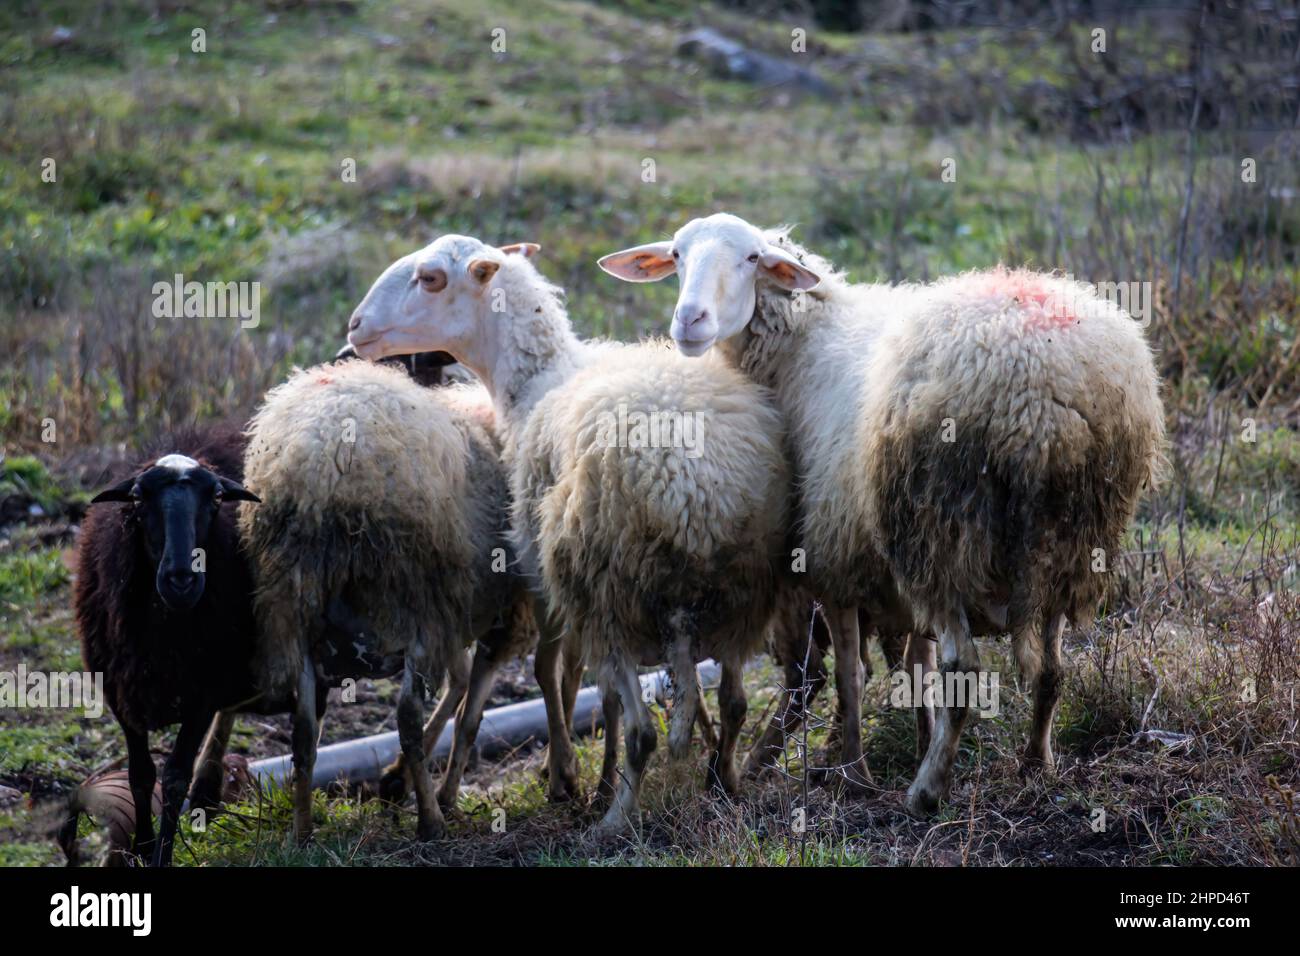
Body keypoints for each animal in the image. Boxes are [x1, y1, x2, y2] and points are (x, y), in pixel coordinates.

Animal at [74, 424, 268, 866]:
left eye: (217, 498)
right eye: (138, 497)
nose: (181, 579)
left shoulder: (203, 693)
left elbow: (175, 777)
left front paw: (161, 855)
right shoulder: (120, 691)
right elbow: (140, 775)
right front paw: (142, 848)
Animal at [238, 358, 539, 841]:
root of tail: (324, 459)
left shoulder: (458, 618)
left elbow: (460, 688)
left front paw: (401, 783)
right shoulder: (493, 620)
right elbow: (469, 716)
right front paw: (437, 794)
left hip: (293, 607)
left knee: (303, 732)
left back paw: (302, 830)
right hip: (413, 601)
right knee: (407, 717)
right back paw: (430, 821)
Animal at [347, 236, 791, 834]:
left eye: (431, 278)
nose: (355, 327)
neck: (536, 380)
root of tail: (693, 496)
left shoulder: (546, 571)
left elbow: (551, 672)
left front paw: (569, 779)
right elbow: (592, 688)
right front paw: (592, 777)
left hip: (608, 585)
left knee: (645, 731)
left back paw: (614, 823)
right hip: (742, 591)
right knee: (735, 701)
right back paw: (725, 781)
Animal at [599, 213, 1165, 815]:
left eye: (752, 258)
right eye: (677, 255)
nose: (690, 321)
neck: (804, 342)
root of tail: (1043, 392)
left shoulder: (833, 553)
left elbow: (853, 676)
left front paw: (854, 772)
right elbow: (913, 666)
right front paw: (905, 742)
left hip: (941, 529)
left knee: (963, 668)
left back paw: (927, 791)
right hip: (1074, 536)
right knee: (1054, 669)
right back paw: (1036, 763)